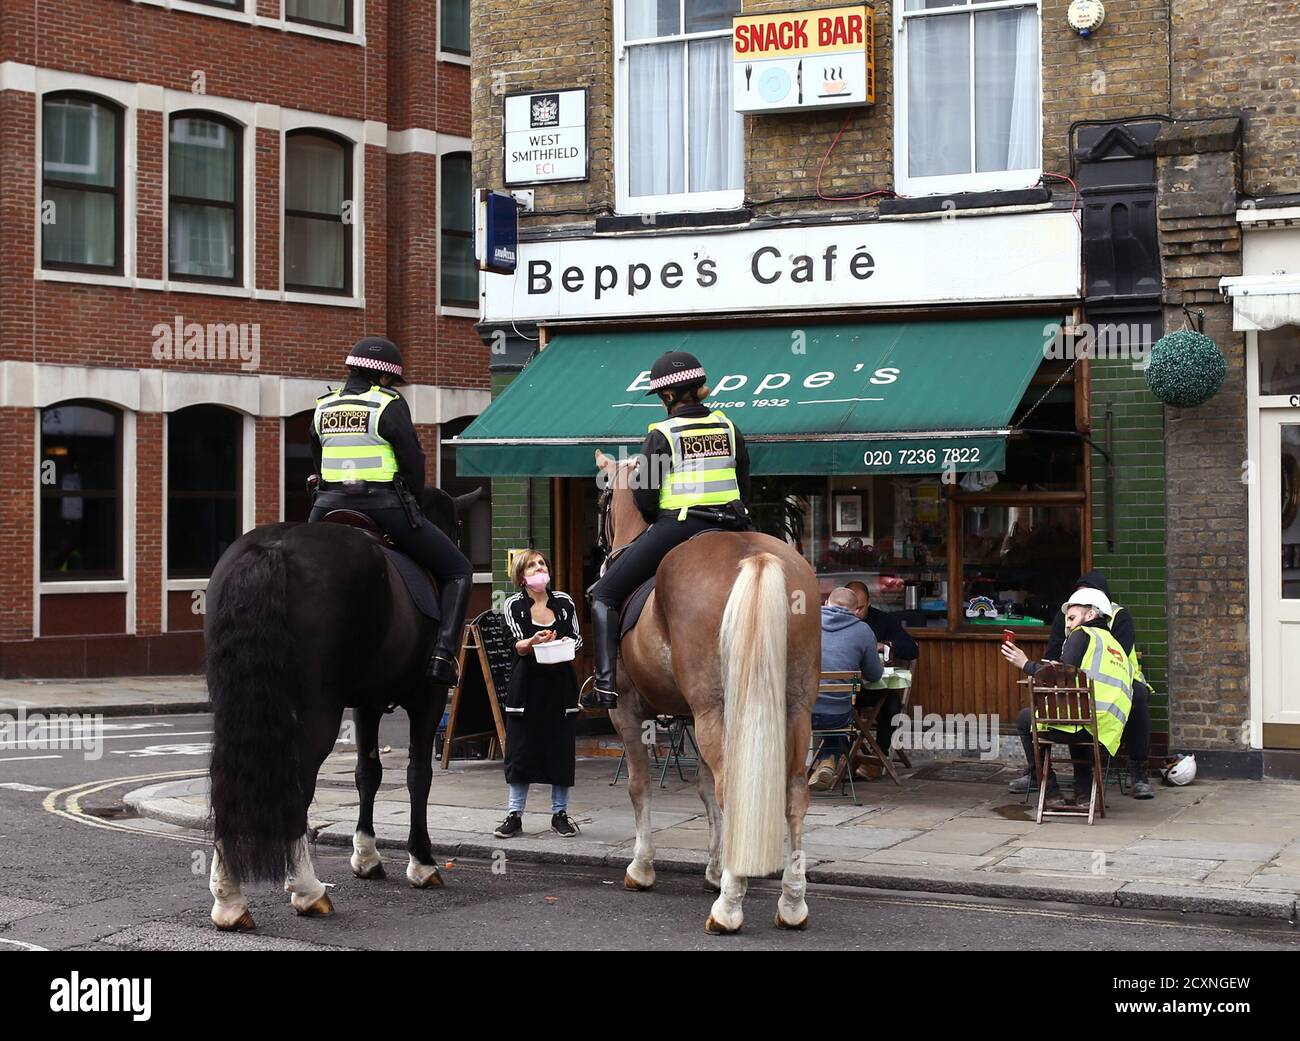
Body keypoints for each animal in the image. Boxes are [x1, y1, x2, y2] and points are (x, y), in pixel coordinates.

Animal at [203, 487, 480, 930]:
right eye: (456, 527)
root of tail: (273, 550)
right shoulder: (428, 699)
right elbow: (418, 775)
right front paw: (422, 863)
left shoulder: (367, 701)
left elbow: (368, 773)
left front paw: (366, 856)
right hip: (317, 710)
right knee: (297, 782)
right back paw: (307, 890)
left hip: (236, 705)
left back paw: (229, 897)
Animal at [595, 450, 821, 933]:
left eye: (601, 499)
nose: (601, 549)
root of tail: (755, 556)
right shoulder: (692, 718)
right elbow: (701, 787)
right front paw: (715, 869)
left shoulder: (627, 711)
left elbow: (640, 785)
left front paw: (642, 867)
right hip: (793, 708)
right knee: (794, 794)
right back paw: (791, 904)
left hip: (714, 709)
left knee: (730, 788)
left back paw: (728, 908)